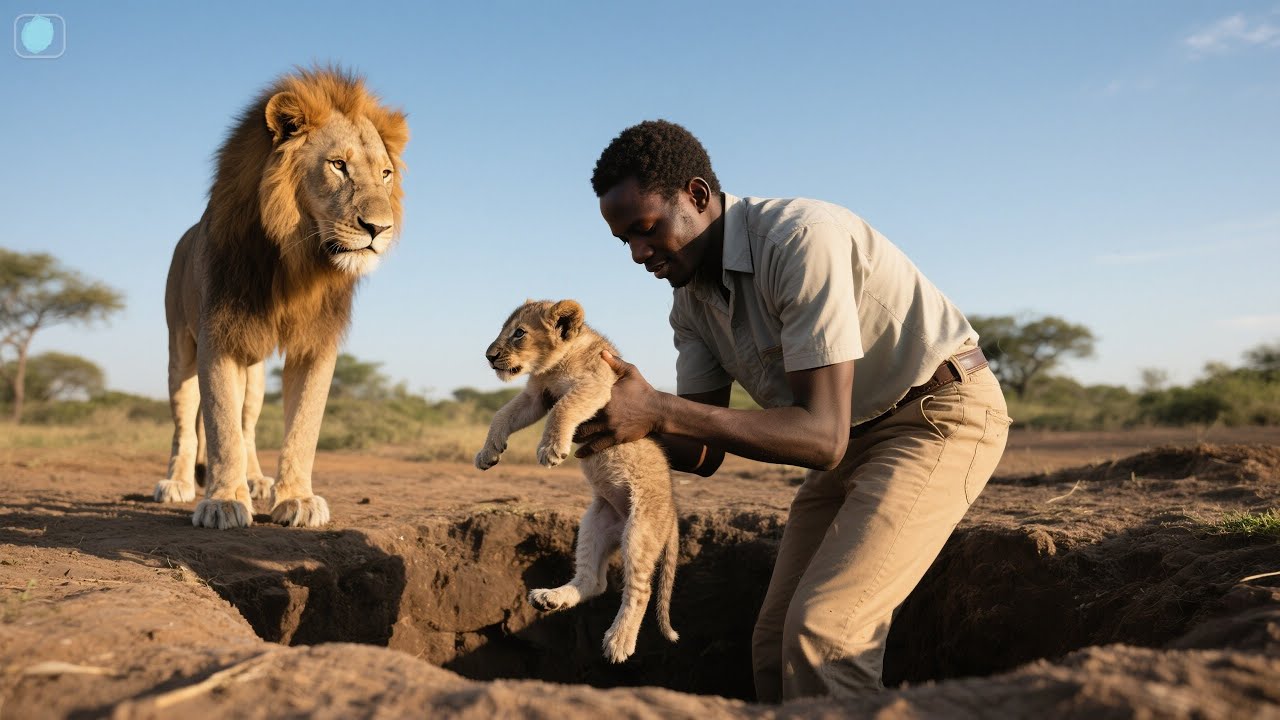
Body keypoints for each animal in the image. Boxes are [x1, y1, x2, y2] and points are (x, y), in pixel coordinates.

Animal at [154, 66, 409, 530]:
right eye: (338, 165)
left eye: (385, 173)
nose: (380, 229)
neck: (298, 258)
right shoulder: (219, 336)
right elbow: (219, 427)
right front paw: (223, 502)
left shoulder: (316, 343)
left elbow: (302, 427)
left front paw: (296, 499)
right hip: (179, 348)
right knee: (186, 423)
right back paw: (178, 483)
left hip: (255, 375)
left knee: (247, 423)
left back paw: (256, 480)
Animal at [474, 299, 679, 662]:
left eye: (518, 333)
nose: (489, 355)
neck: (552, 367)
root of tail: (672, 513)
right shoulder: (536, 396)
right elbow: (503, 413)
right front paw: (488, 453)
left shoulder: (597, 385)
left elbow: (564, 408)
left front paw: (551, 449)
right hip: (595, 522)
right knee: (593, 581)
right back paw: (550, 598)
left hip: (641, 528)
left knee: (640, 588)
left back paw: (619, 641)